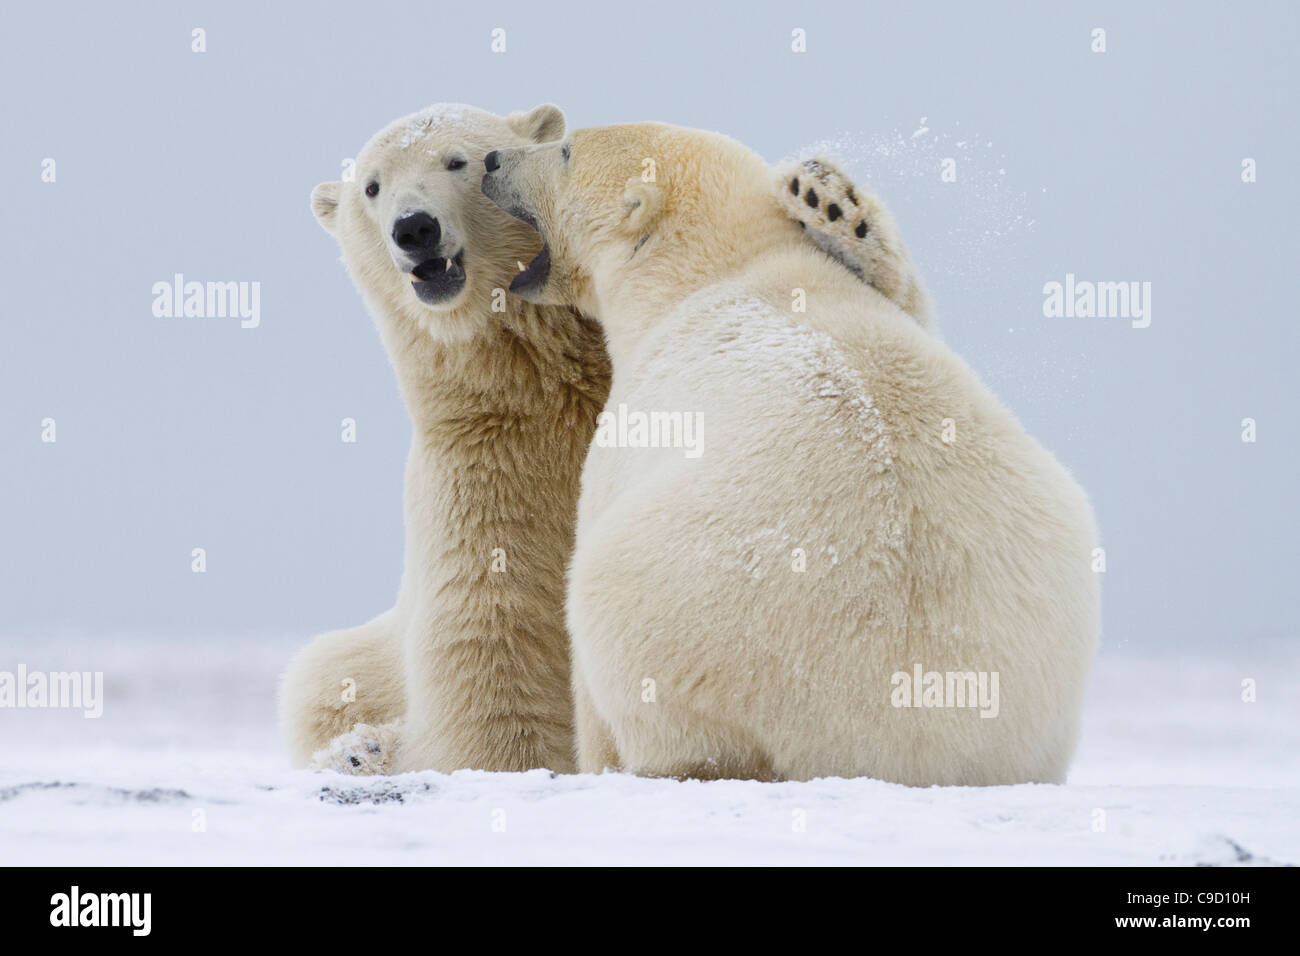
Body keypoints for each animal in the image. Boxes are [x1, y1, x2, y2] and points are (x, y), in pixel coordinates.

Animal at [281, 105, 933, 775]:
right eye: (371, 188)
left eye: (455, 161)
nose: (414, 228)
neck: (545, 389)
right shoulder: (483, 474)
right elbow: (493, 631)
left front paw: (836, 213)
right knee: (324, 677)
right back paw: (360, 751)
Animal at [481, 122, 1100, 785]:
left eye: (565, 150)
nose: (491, 160)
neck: (714, 269)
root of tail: (901, 734)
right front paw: (830, 204)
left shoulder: (633, 424)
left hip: (683, 619)